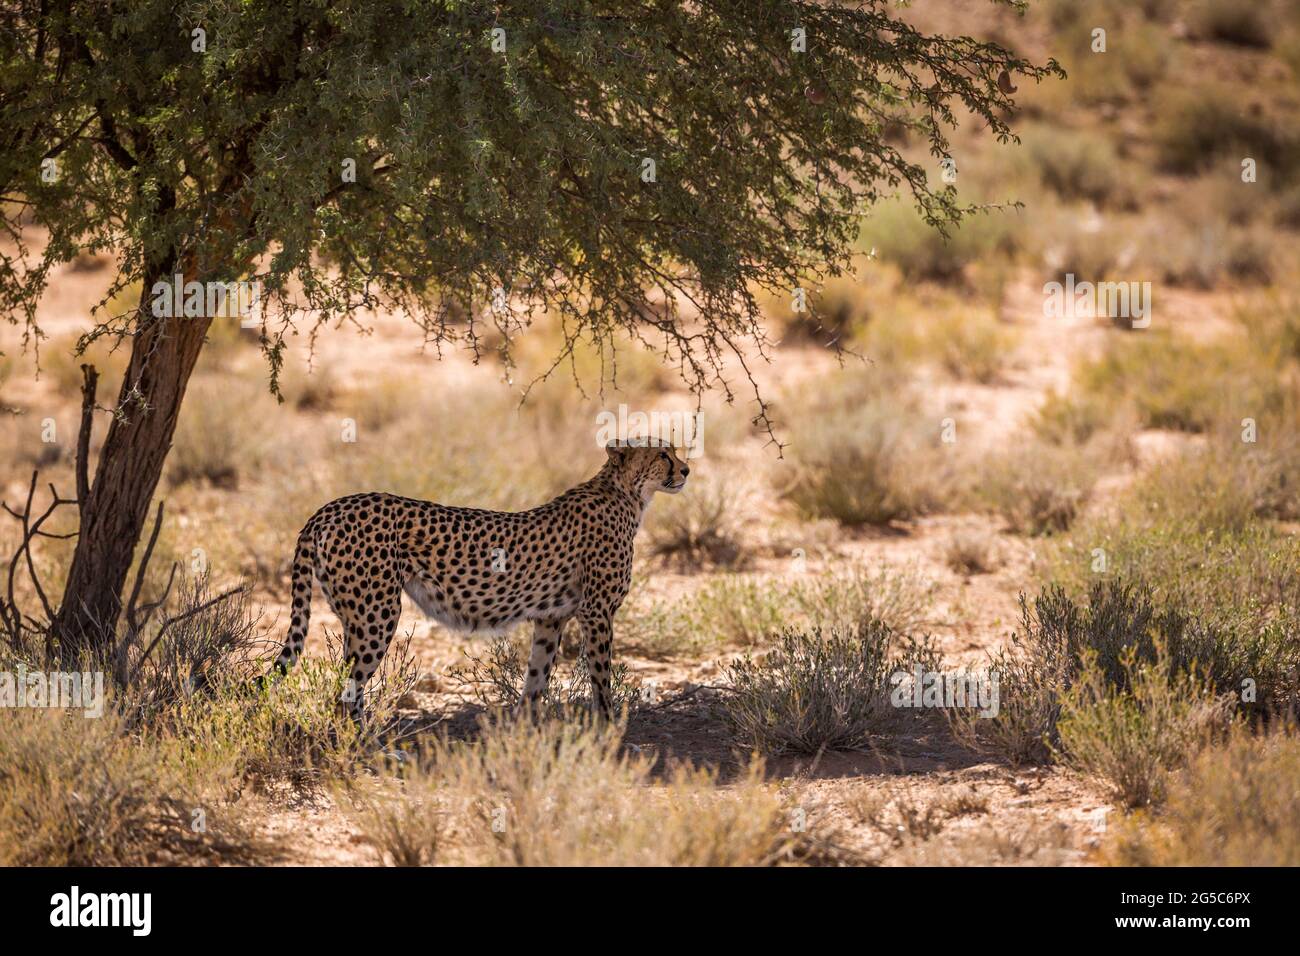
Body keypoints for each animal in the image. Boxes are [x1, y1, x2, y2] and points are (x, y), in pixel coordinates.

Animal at [267, 439, 690, 721]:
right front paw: (609, 728)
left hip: (355, 616)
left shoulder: (551, 619)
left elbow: (535, 680)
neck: (627, 494)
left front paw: (523, 735)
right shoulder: (596, 613)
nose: (686, 470)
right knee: (345, 693)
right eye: (663, 455)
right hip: (377, 615)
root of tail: (329, 507)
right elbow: (601, 679)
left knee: (345, 687)